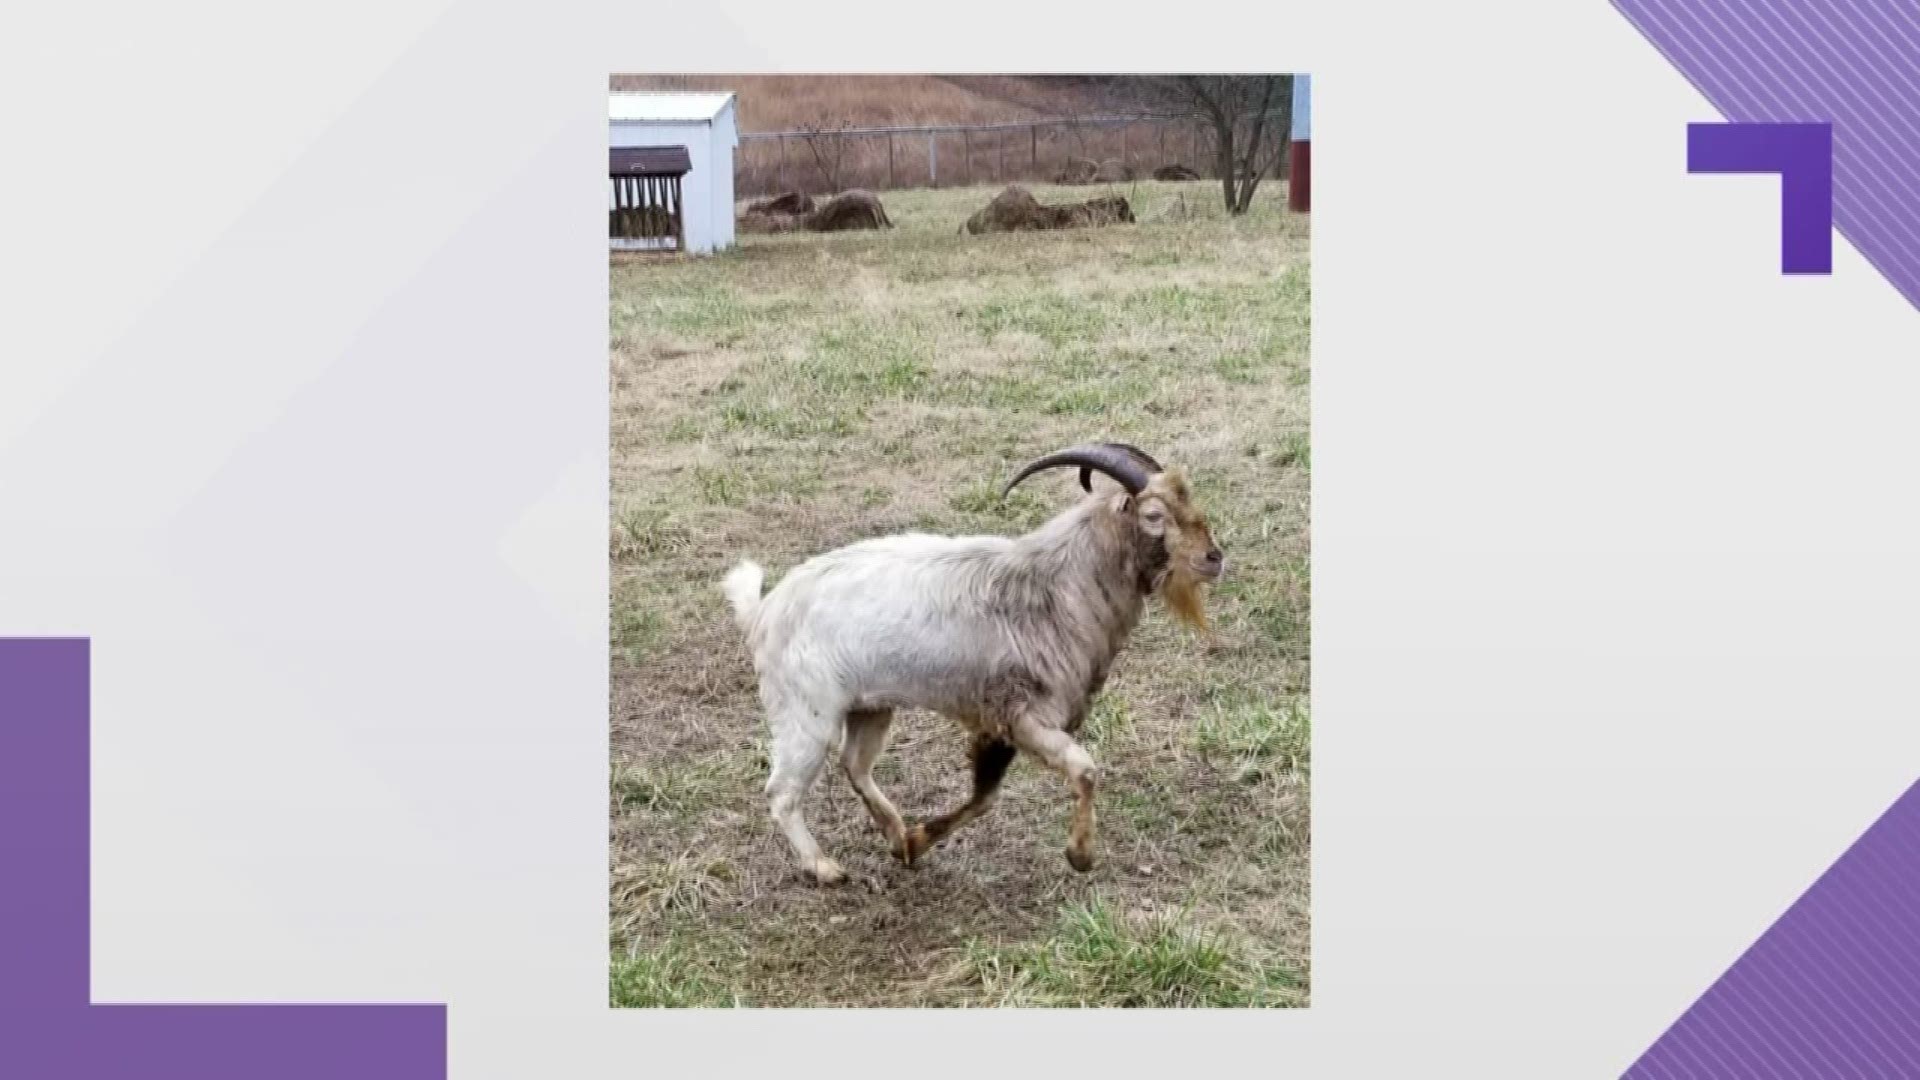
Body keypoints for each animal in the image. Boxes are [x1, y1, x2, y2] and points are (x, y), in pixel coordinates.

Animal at [722, 443, 1224, 884]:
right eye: (1154, 516)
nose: (1214, 557)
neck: (1057, 585)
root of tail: (764, 612)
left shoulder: (997, 726)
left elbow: (985, 796)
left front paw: (917, 842)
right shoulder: (1024, 716)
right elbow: (1083, 771)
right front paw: (1081, 856)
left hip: (871, 706)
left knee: (856, 764)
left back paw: (895, 833)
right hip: (807, 716)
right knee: (782, 793)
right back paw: (825, 868)